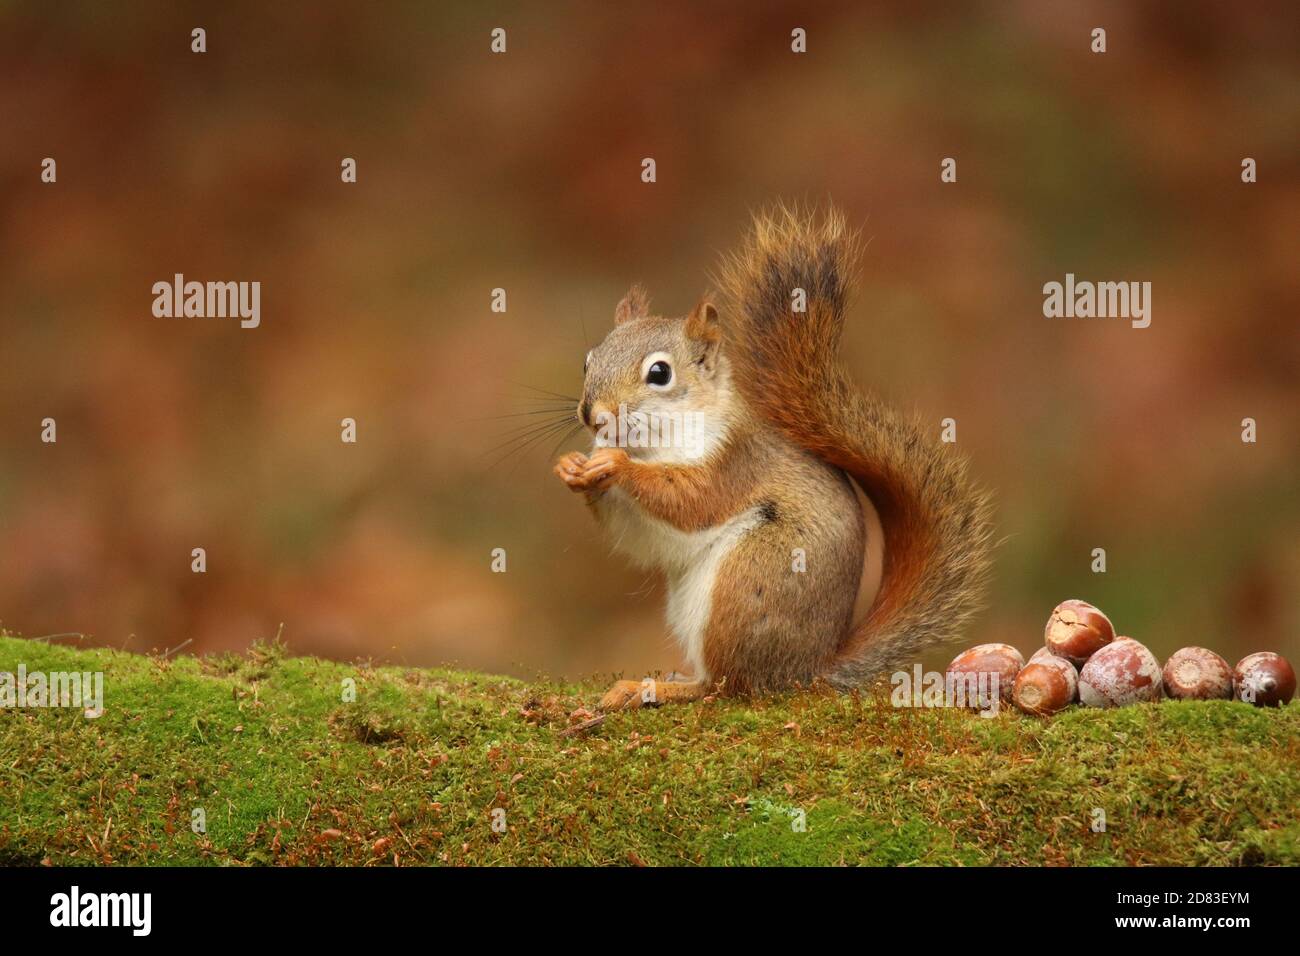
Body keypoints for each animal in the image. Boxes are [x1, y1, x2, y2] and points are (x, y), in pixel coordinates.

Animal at [554, 204, 994, 711]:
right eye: (588, 360)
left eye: (659, 373)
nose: (592, 414)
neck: (652, 444)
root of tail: (805, 670)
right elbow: (641, 539)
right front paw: (573, 469)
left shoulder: (734, 461)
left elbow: (691, 501)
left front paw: (617, 468)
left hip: (750, 580)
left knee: (727, 686)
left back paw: (654, 688)